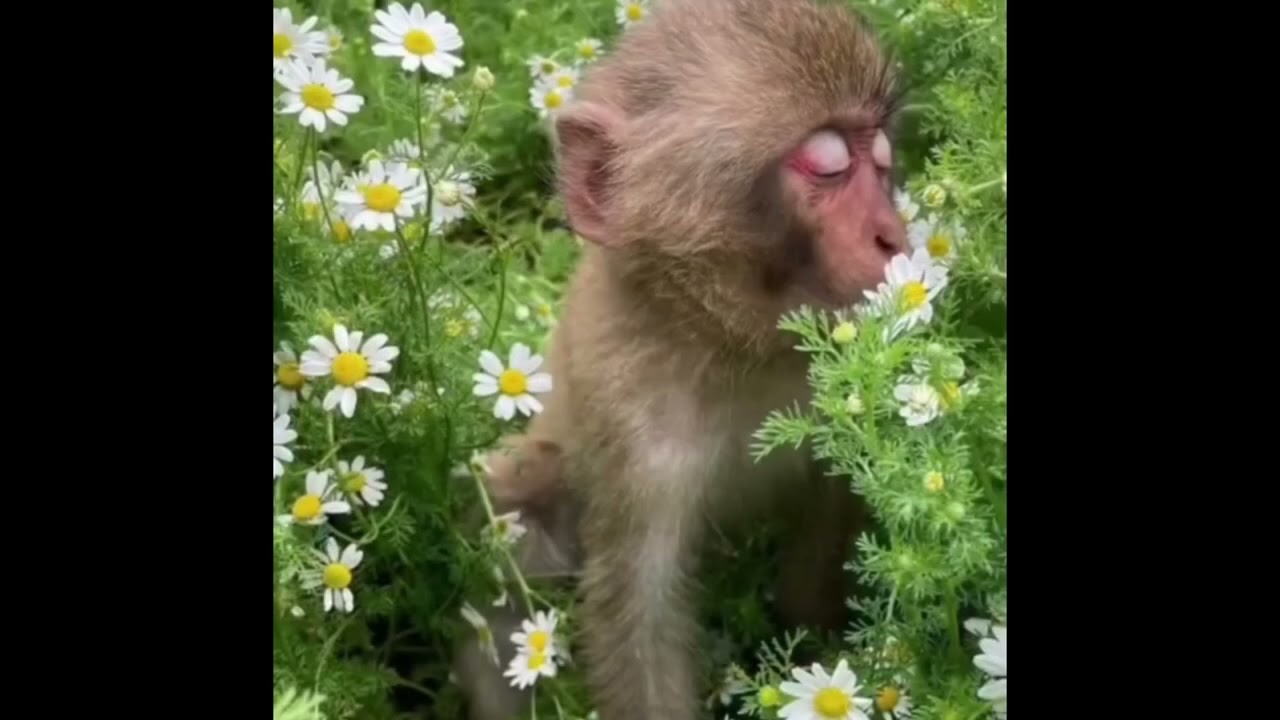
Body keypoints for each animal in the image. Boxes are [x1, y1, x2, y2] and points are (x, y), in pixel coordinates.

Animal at [506, 0, 911, 717]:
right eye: (828, 166)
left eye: (881, 161)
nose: (892, 233)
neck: (726, 341)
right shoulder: (633, 430)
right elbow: (639, 616)